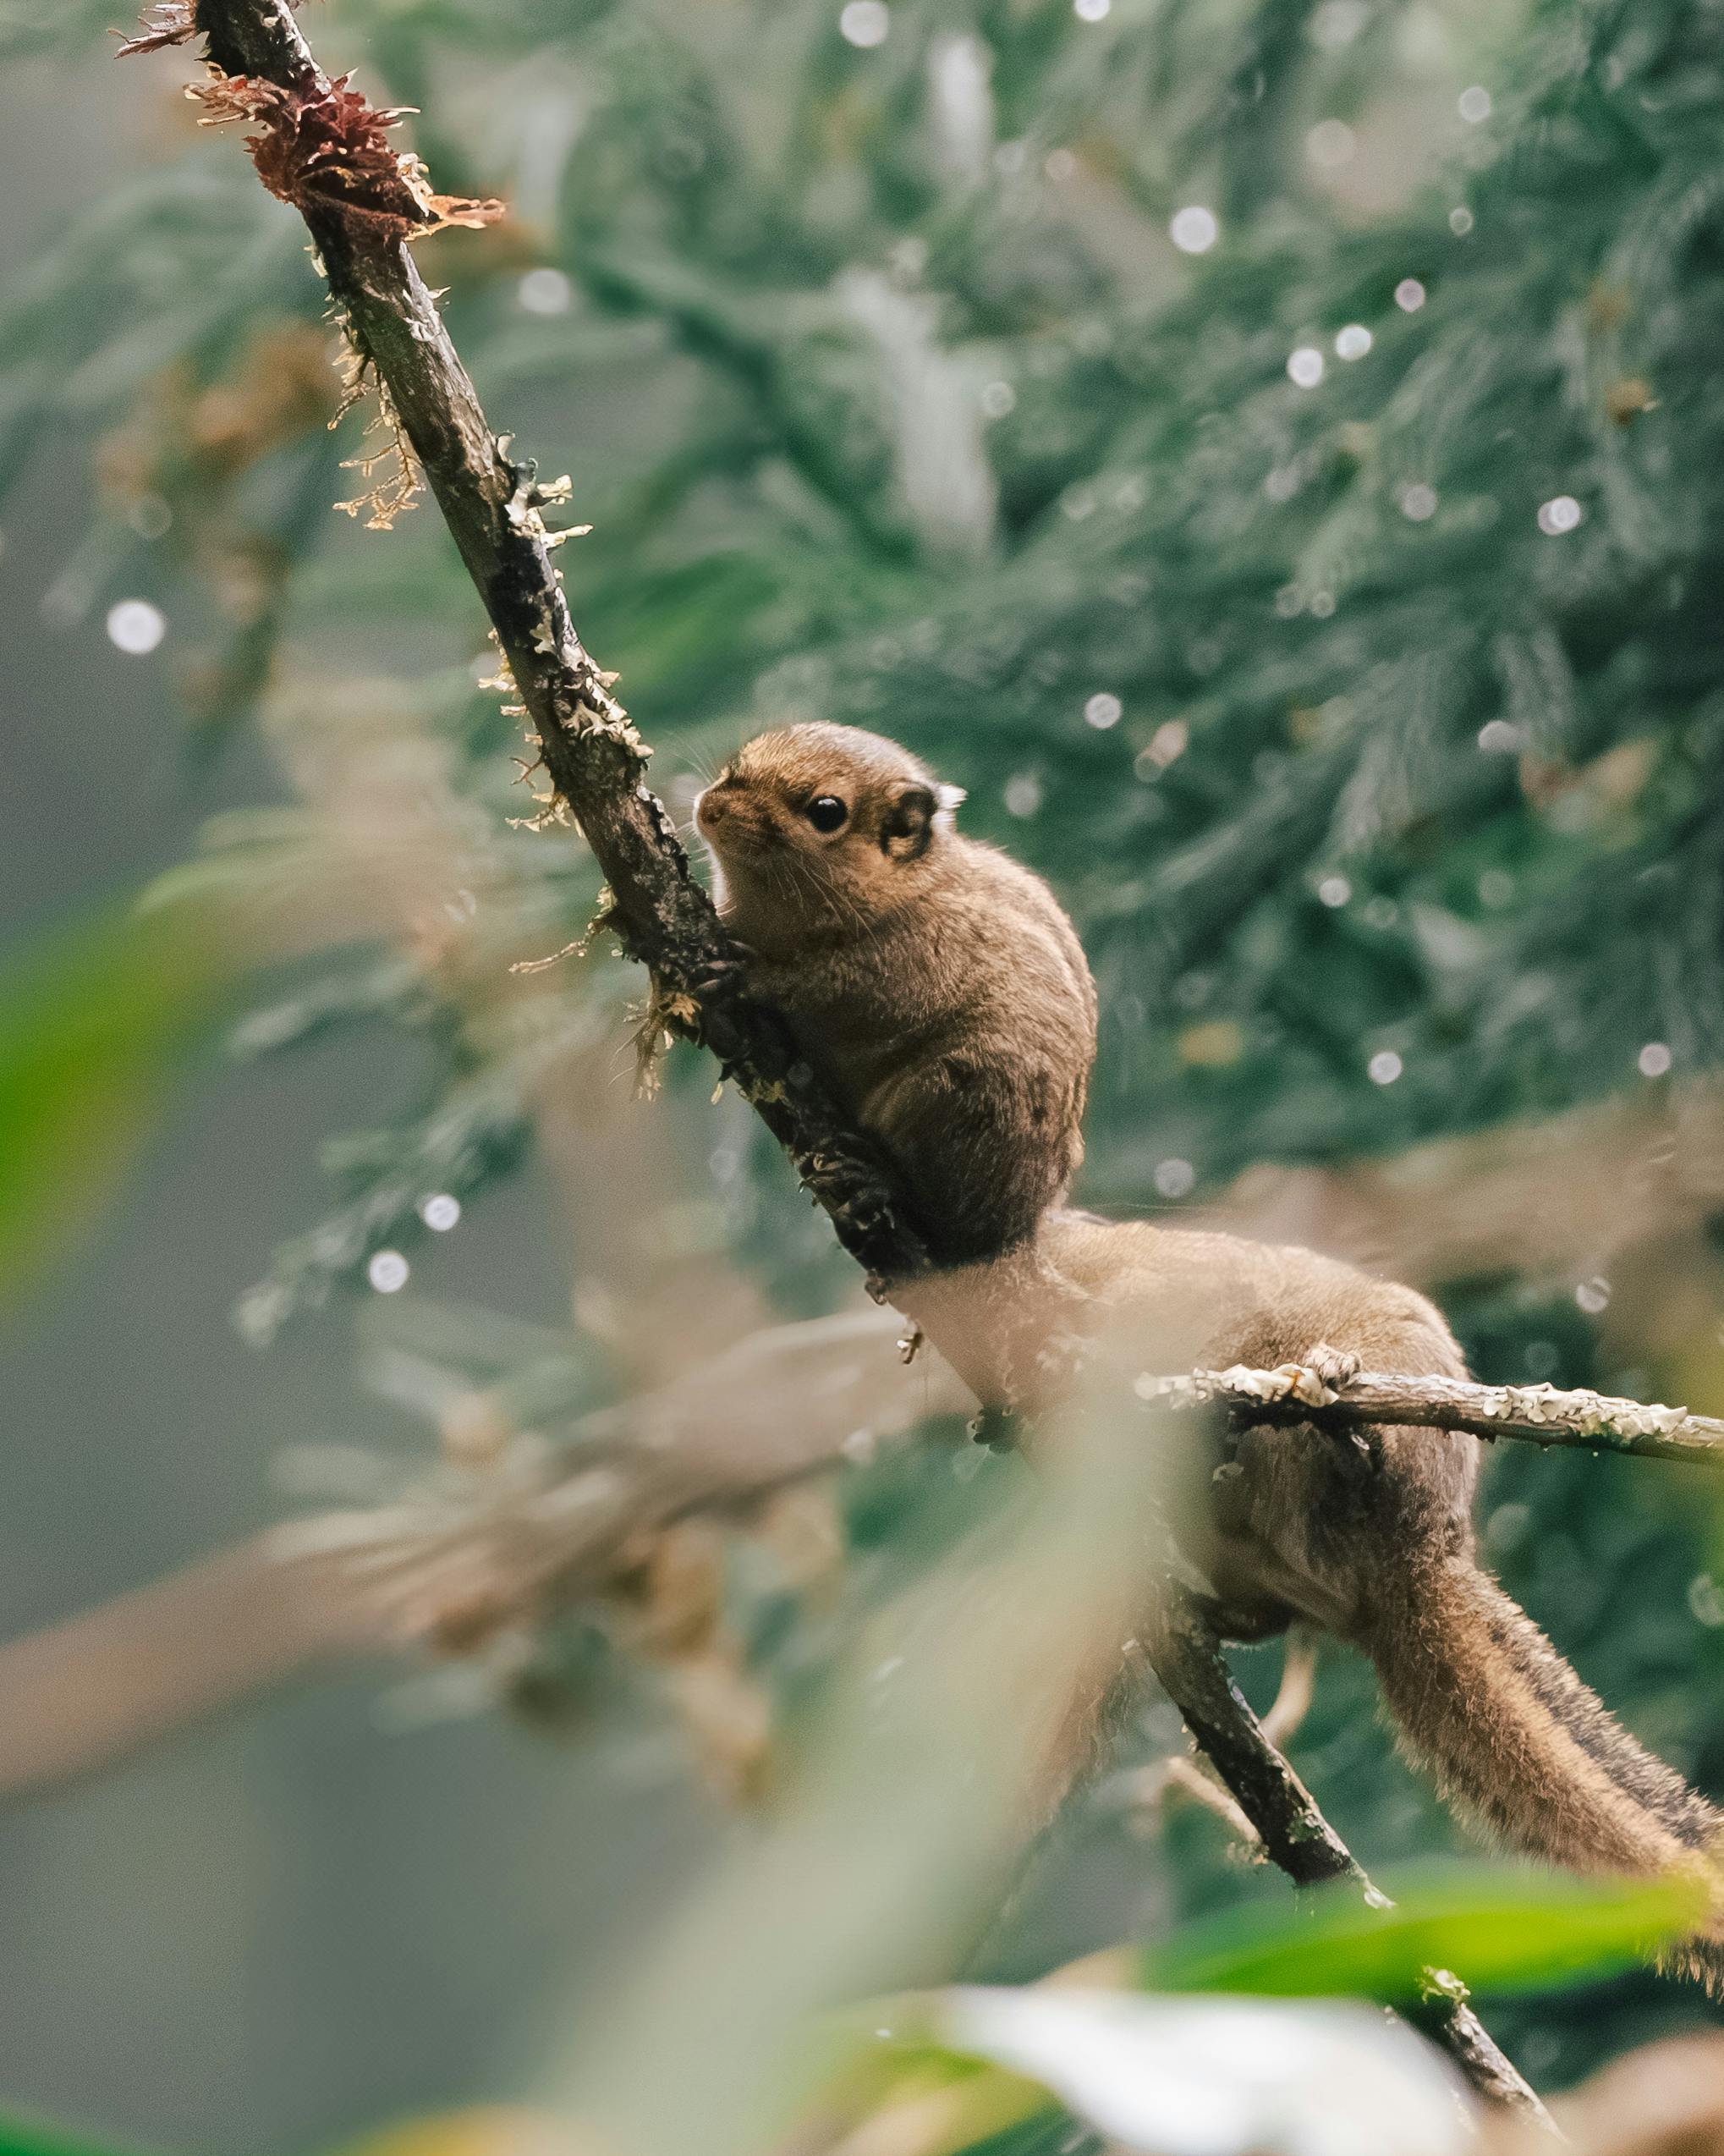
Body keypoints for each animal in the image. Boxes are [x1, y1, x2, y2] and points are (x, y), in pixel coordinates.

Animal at [694, 721, 1097, 1269]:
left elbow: (827, 986)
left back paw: (881, 1182)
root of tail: (1020, 1231)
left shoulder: (918, 961)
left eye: (827, 812)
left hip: (962, 1094)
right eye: (741, 761)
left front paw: (752, 976)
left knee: (951, 1222)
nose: (709, 809)